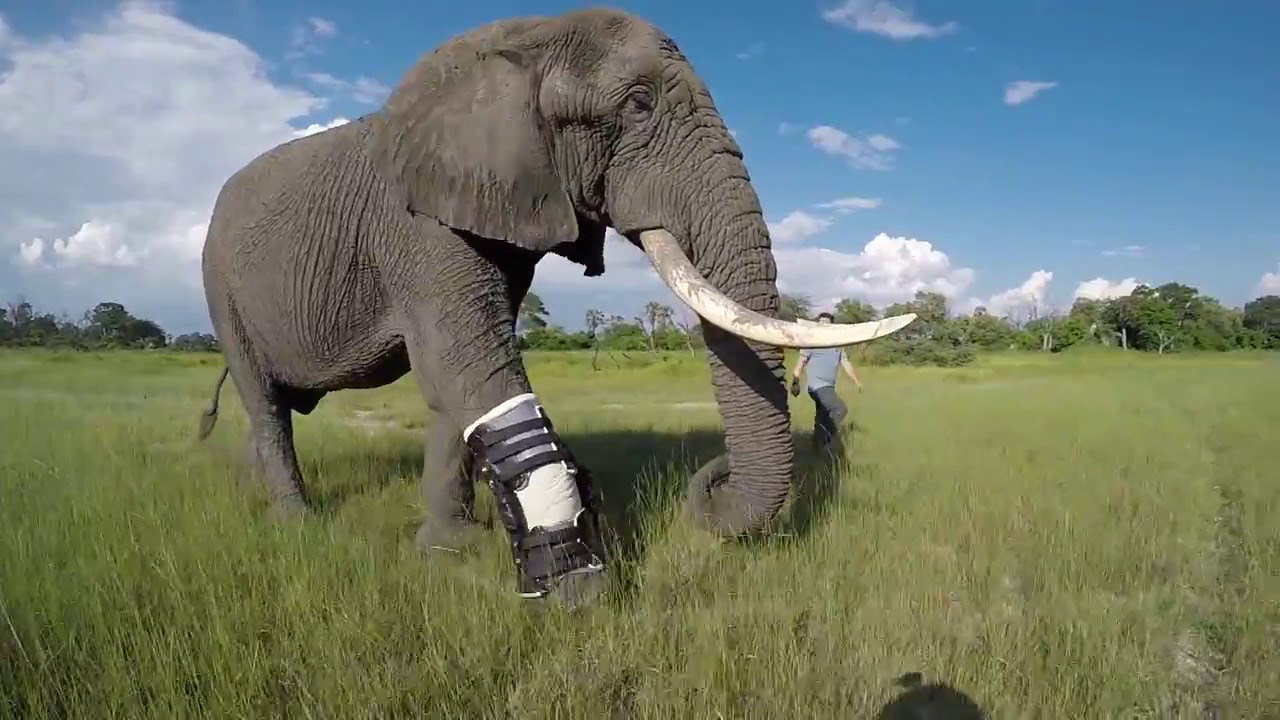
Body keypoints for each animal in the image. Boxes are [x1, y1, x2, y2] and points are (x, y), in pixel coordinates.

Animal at [195, 7, 916, 607]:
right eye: (639, 104)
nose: (714, 476)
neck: (522, 37)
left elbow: (458, 379)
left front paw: (452, 547)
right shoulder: (414, 223)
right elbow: (464, 362)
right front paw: (572, 582)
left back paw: (251, 495)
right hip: (217, 282)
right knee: (264, 400)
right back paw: (295, 522)